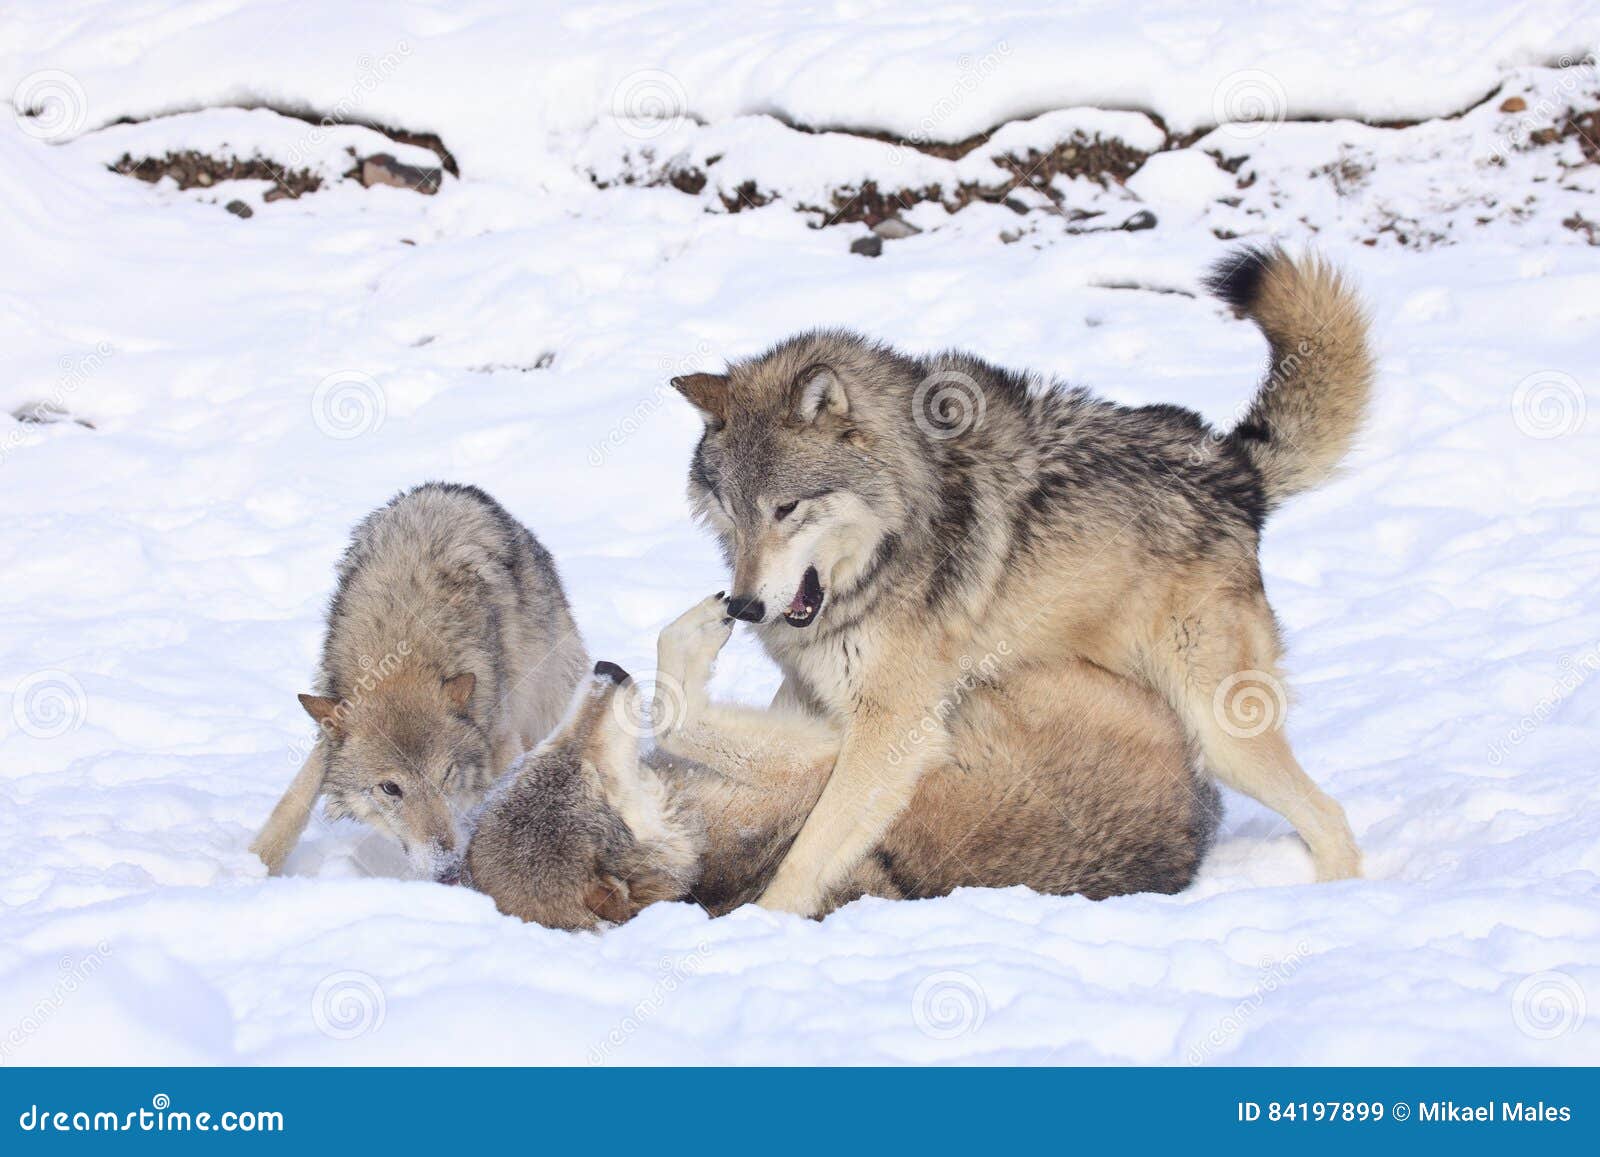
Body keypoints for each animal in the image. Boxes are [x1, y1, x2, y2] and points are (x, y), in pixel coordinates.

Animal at [249, 482, 589, 876]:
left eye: (446, 774)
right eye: (390, 788)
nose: (446, 868)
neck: (402, 652)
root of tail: (456, 489)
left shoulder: (501, 738)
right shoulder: (330, 723)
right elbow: (295, 798)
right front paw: (254, 867)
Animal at [462, 594, 1217, 929]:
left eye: (556, 749)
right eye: (593, 777)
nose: (609, 672)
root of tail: (1196, 818)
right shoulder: (830, 759)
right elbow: (682, 716)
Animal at [670, 246, 1372, 916]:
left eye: (787, 509)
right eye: (731, 511)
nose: (744, 605)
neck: (897, 533)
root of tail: (1233, 470)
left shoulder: (895, 733)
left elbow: (805, 852)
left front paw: (764, 923)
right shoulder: (814, 697)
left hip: (1224, 732)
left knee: (1331, 815)